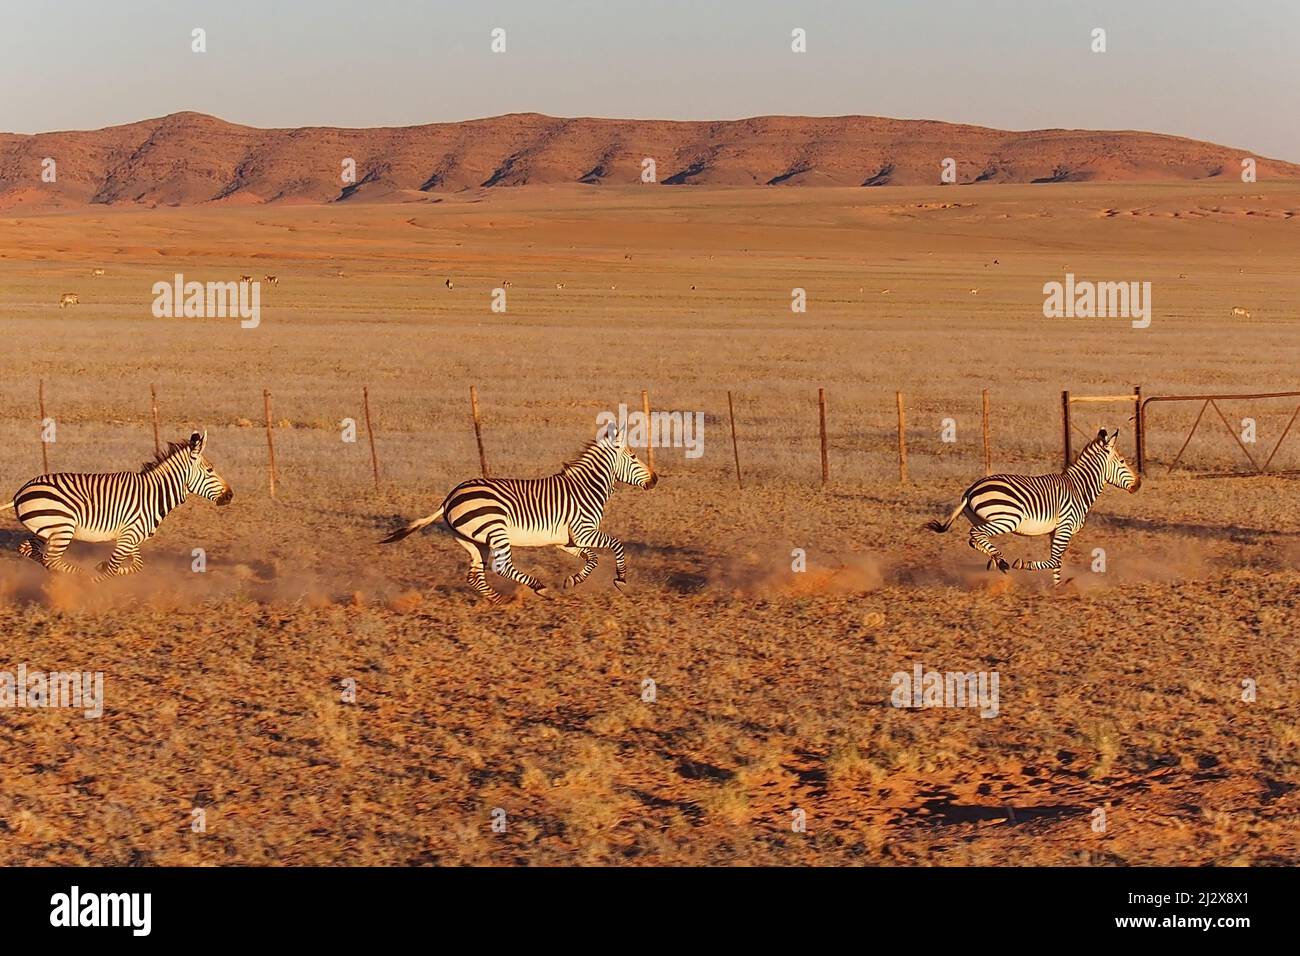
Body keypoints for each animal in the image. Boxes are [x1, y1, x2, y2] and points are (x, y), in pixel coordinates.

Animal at [3, 432, 233, 582]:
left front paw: (100, 566)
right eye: (210, 470)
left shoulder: (131, 536)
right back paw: (79, 575)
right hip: (62, 528)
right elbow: (113, 569)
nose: (230, 495)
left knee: (30, 550)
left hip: (45, 530)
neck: (154, 493)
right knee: (50, 558)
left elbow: (136, 566)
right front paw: (93, 584)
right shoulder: (128, 537)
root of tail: (19, 493)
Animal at [380, 424, 656, 603]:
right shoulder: (582, 532)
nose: (655, 479)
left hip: (472, 540)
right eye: (634, 456)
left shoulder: (566, 540)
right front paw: (620, 580)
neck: (586, 487)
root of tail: (450, 497)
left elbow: (592, 559)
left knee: (475, 575)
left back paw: (499, 600)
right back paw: (538, 588)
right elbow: (616, 545)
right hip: (496, 530)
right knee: (501, 566)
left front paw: (572, 581)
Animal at [925, 429, 1140, 586]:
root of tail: (970, 490)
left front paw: (1058, 587)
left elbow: (1058, 562)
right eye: (1122, 461)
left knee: (974, 540)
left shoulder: (1056, 530)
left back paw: (996, 562)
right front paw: (1024, 564)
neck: (1079, 488)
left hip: (986, 519)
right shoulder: (1065, 526)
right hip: (1007, 519)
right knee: (975, 534)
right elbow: (1053, 560)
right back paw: (1002, 561)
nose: (1139, 484)